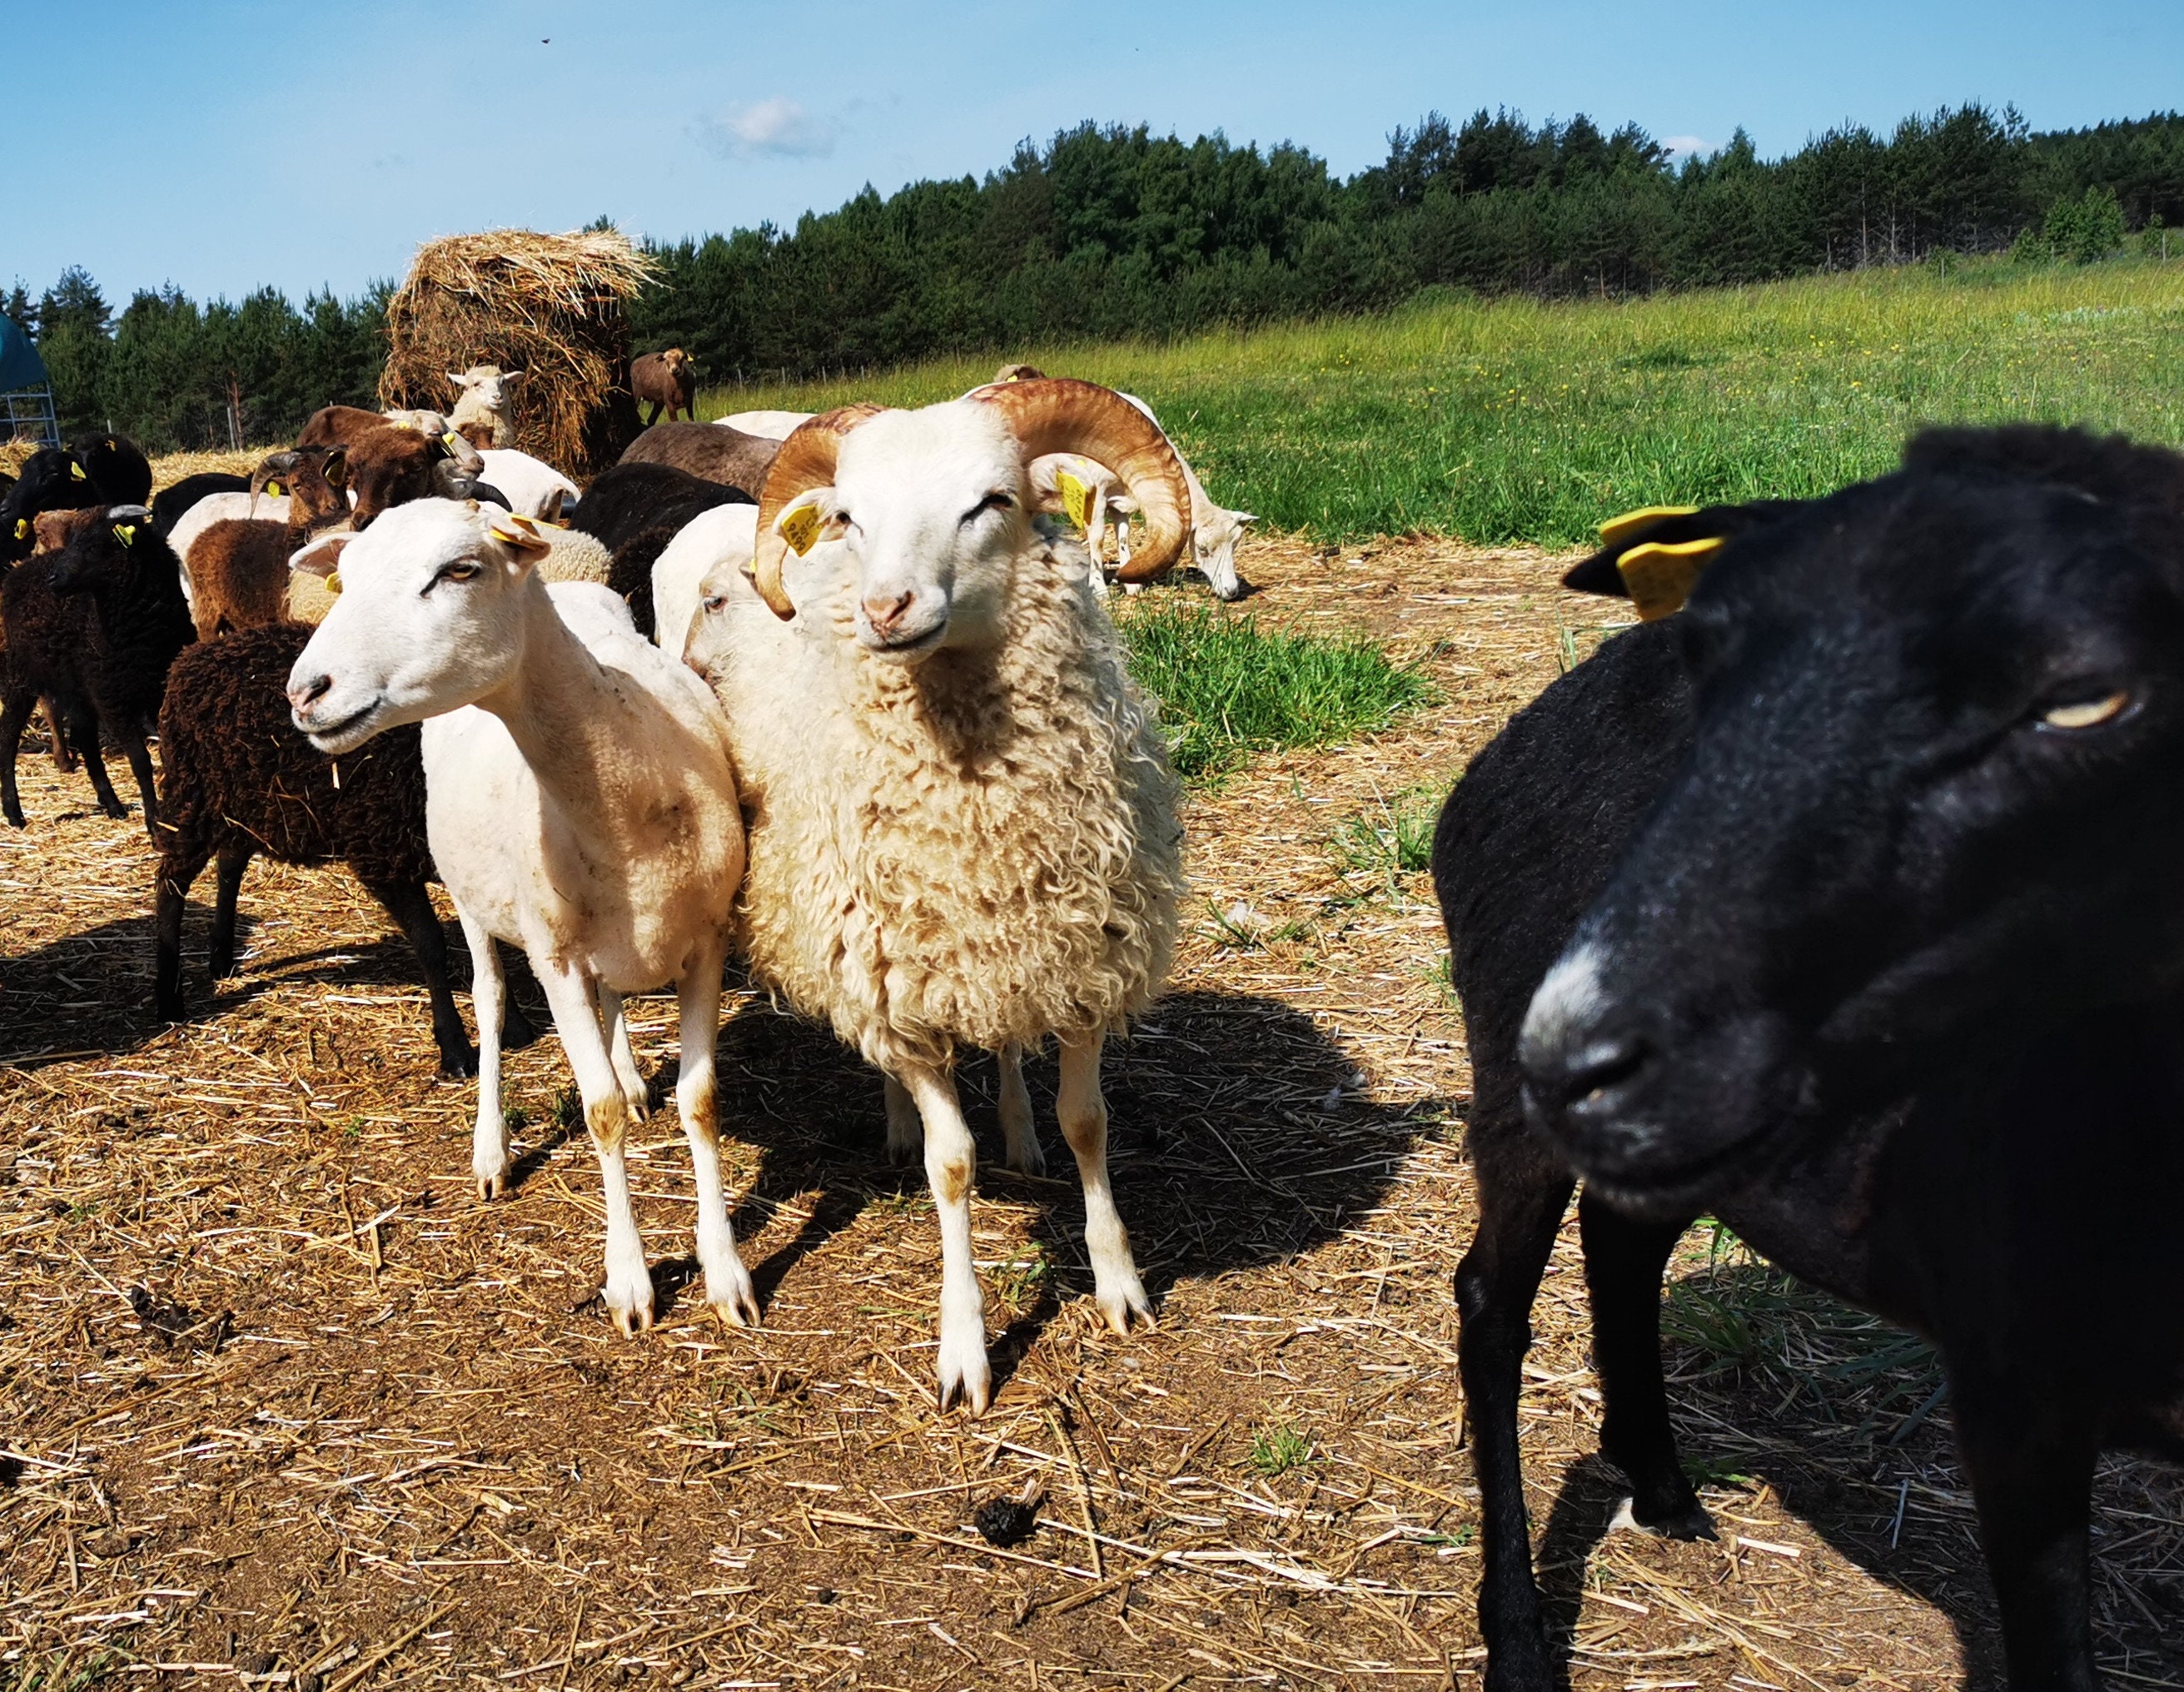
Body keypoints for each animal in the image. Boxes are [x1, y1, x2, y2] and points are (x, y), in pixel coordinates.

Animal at [0, 506, 193, 837]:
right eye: (73, 542)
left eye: (93, 546)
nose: (53, 579)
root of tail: (19, 571)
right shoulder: (112, 698)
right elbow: (140, 760)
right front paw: (153, 820)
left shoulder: (158, 691)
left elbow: (167, 754)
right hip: (20, 674)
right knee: (8, 736)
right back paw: (14, 813)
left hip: (76, 684)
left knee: (86, 738)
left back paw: (112, 804)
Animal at [153, 622, 536, 1076]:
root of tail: (200, 652)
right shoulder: (384, 857)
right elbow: (431, 947)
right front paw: (456, 1049)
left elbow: (489, 954)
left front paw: (514, 1027)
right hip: (192, 797)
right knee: (170, 884)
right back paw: (168, 998)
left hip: (247, 805)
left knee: (230, 864)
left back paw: (221, 959)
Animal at [285, 500, 754, 1334]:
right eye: (349, 574)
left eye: (460, 570)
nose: (306, 691)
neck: (624, 796)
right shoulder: (553, 955)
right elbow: (598, 1113)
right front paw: (629, 1282)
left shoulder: (707, 941)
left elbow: (700, 1102)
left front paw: (726, 1271)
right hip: (474, 901)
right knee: (494, 1002)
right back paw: (492, 1149)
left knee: (612, 999)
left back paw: (631, 1075)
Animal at [680, 378, 1194, 1412]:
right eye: (849, 514)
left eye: (992, 501)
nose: (885, 608)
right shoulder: (900, 989)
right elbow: (947, 1163)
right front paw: (965, 1347)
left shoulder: (1085, 959)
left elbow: (1089, 1122)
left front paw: (1118, 1282)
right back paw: (890, 1122)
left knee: (1005, 1042)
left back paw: (1018, 1130)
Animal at [1433, 424, 2184, 1692]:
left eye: (2084, 697)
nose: (1589, 1025)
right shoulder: (2012, 1387)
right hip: (1510, 1071)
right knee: (1489, 1307)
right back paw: (1520, 1635)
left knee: (1620, 1245)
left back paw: (1659, 1480)